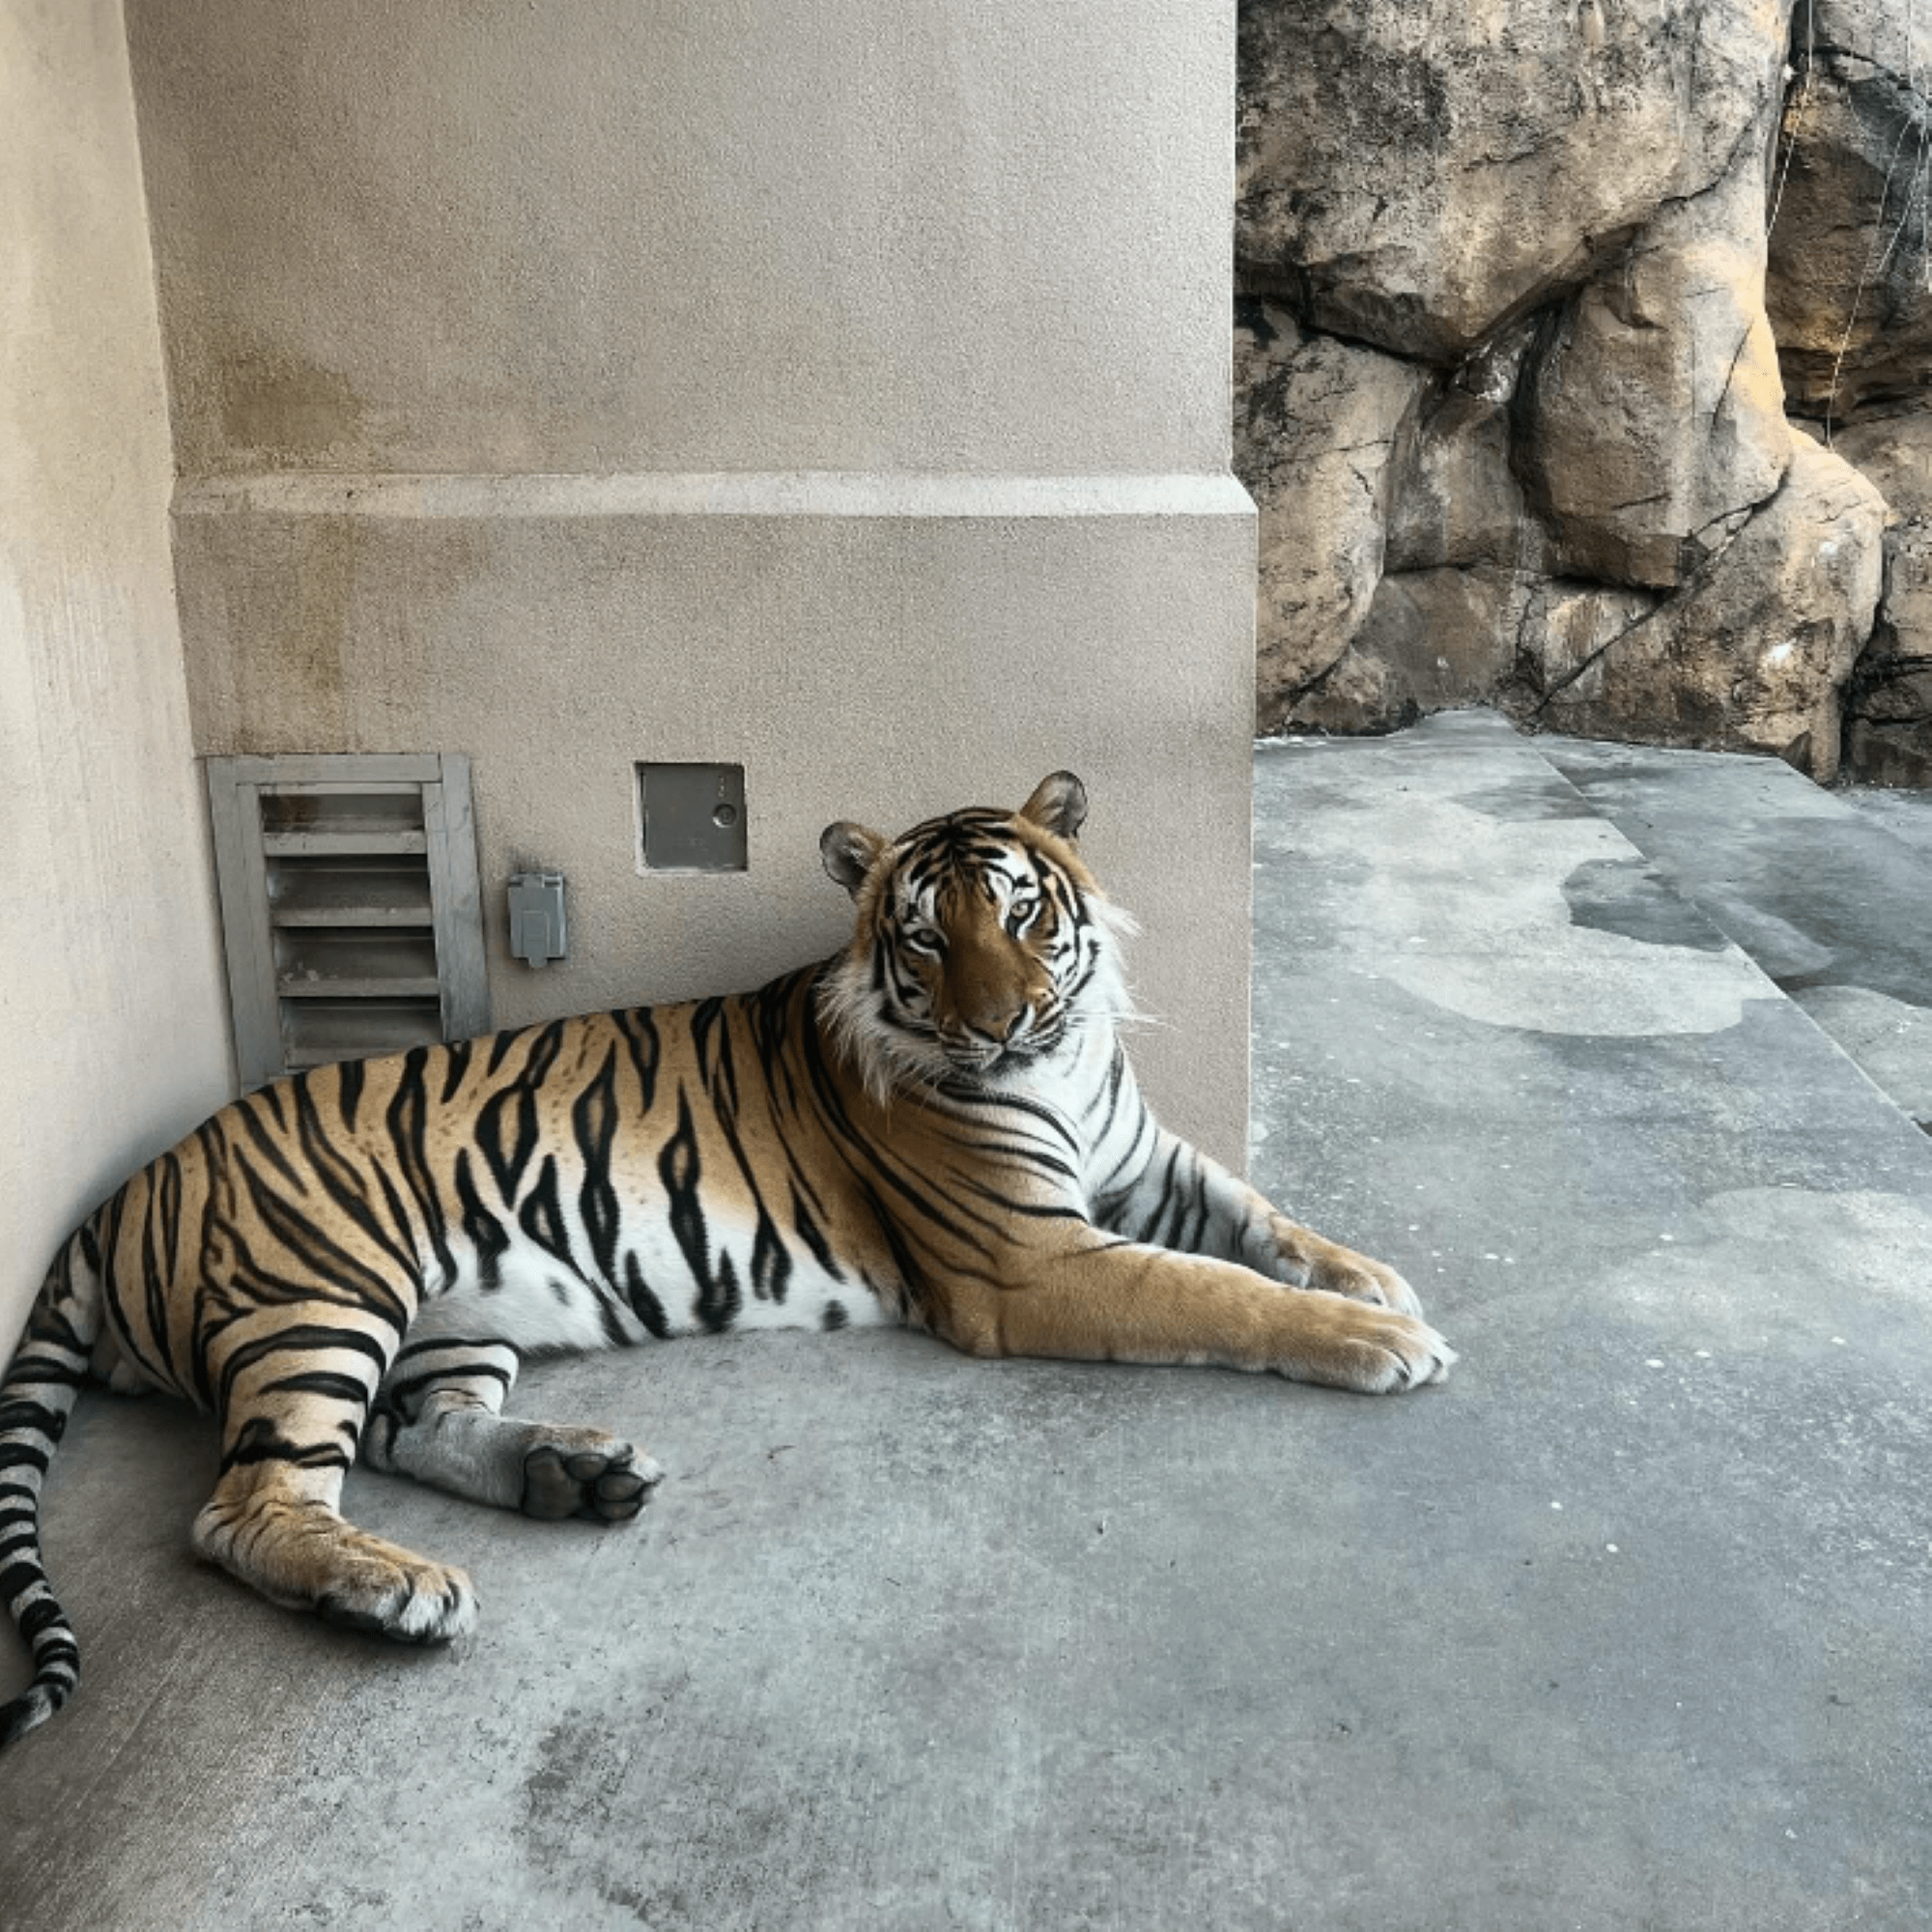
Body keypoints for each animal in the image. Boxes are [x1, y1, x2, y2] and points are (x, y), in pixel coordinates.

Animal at [0, 771, 1453, 1748]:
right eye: (927, 937)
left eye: (1026, 918)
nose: (1000, 1026)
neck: (1068, 1060)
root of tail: (114, 1196)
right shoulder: (1030, 1257)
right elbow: (1215, 1288)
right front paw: (1384, 1340)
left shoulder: (1143, 1162)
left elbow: (1264, 1222)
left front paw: (1369, 1278)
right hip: (322, 1293)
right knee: (246, 1506)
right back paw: (397, 1588)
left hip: (447, 1313)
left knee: (415, 1431)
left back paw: (569, 1474)